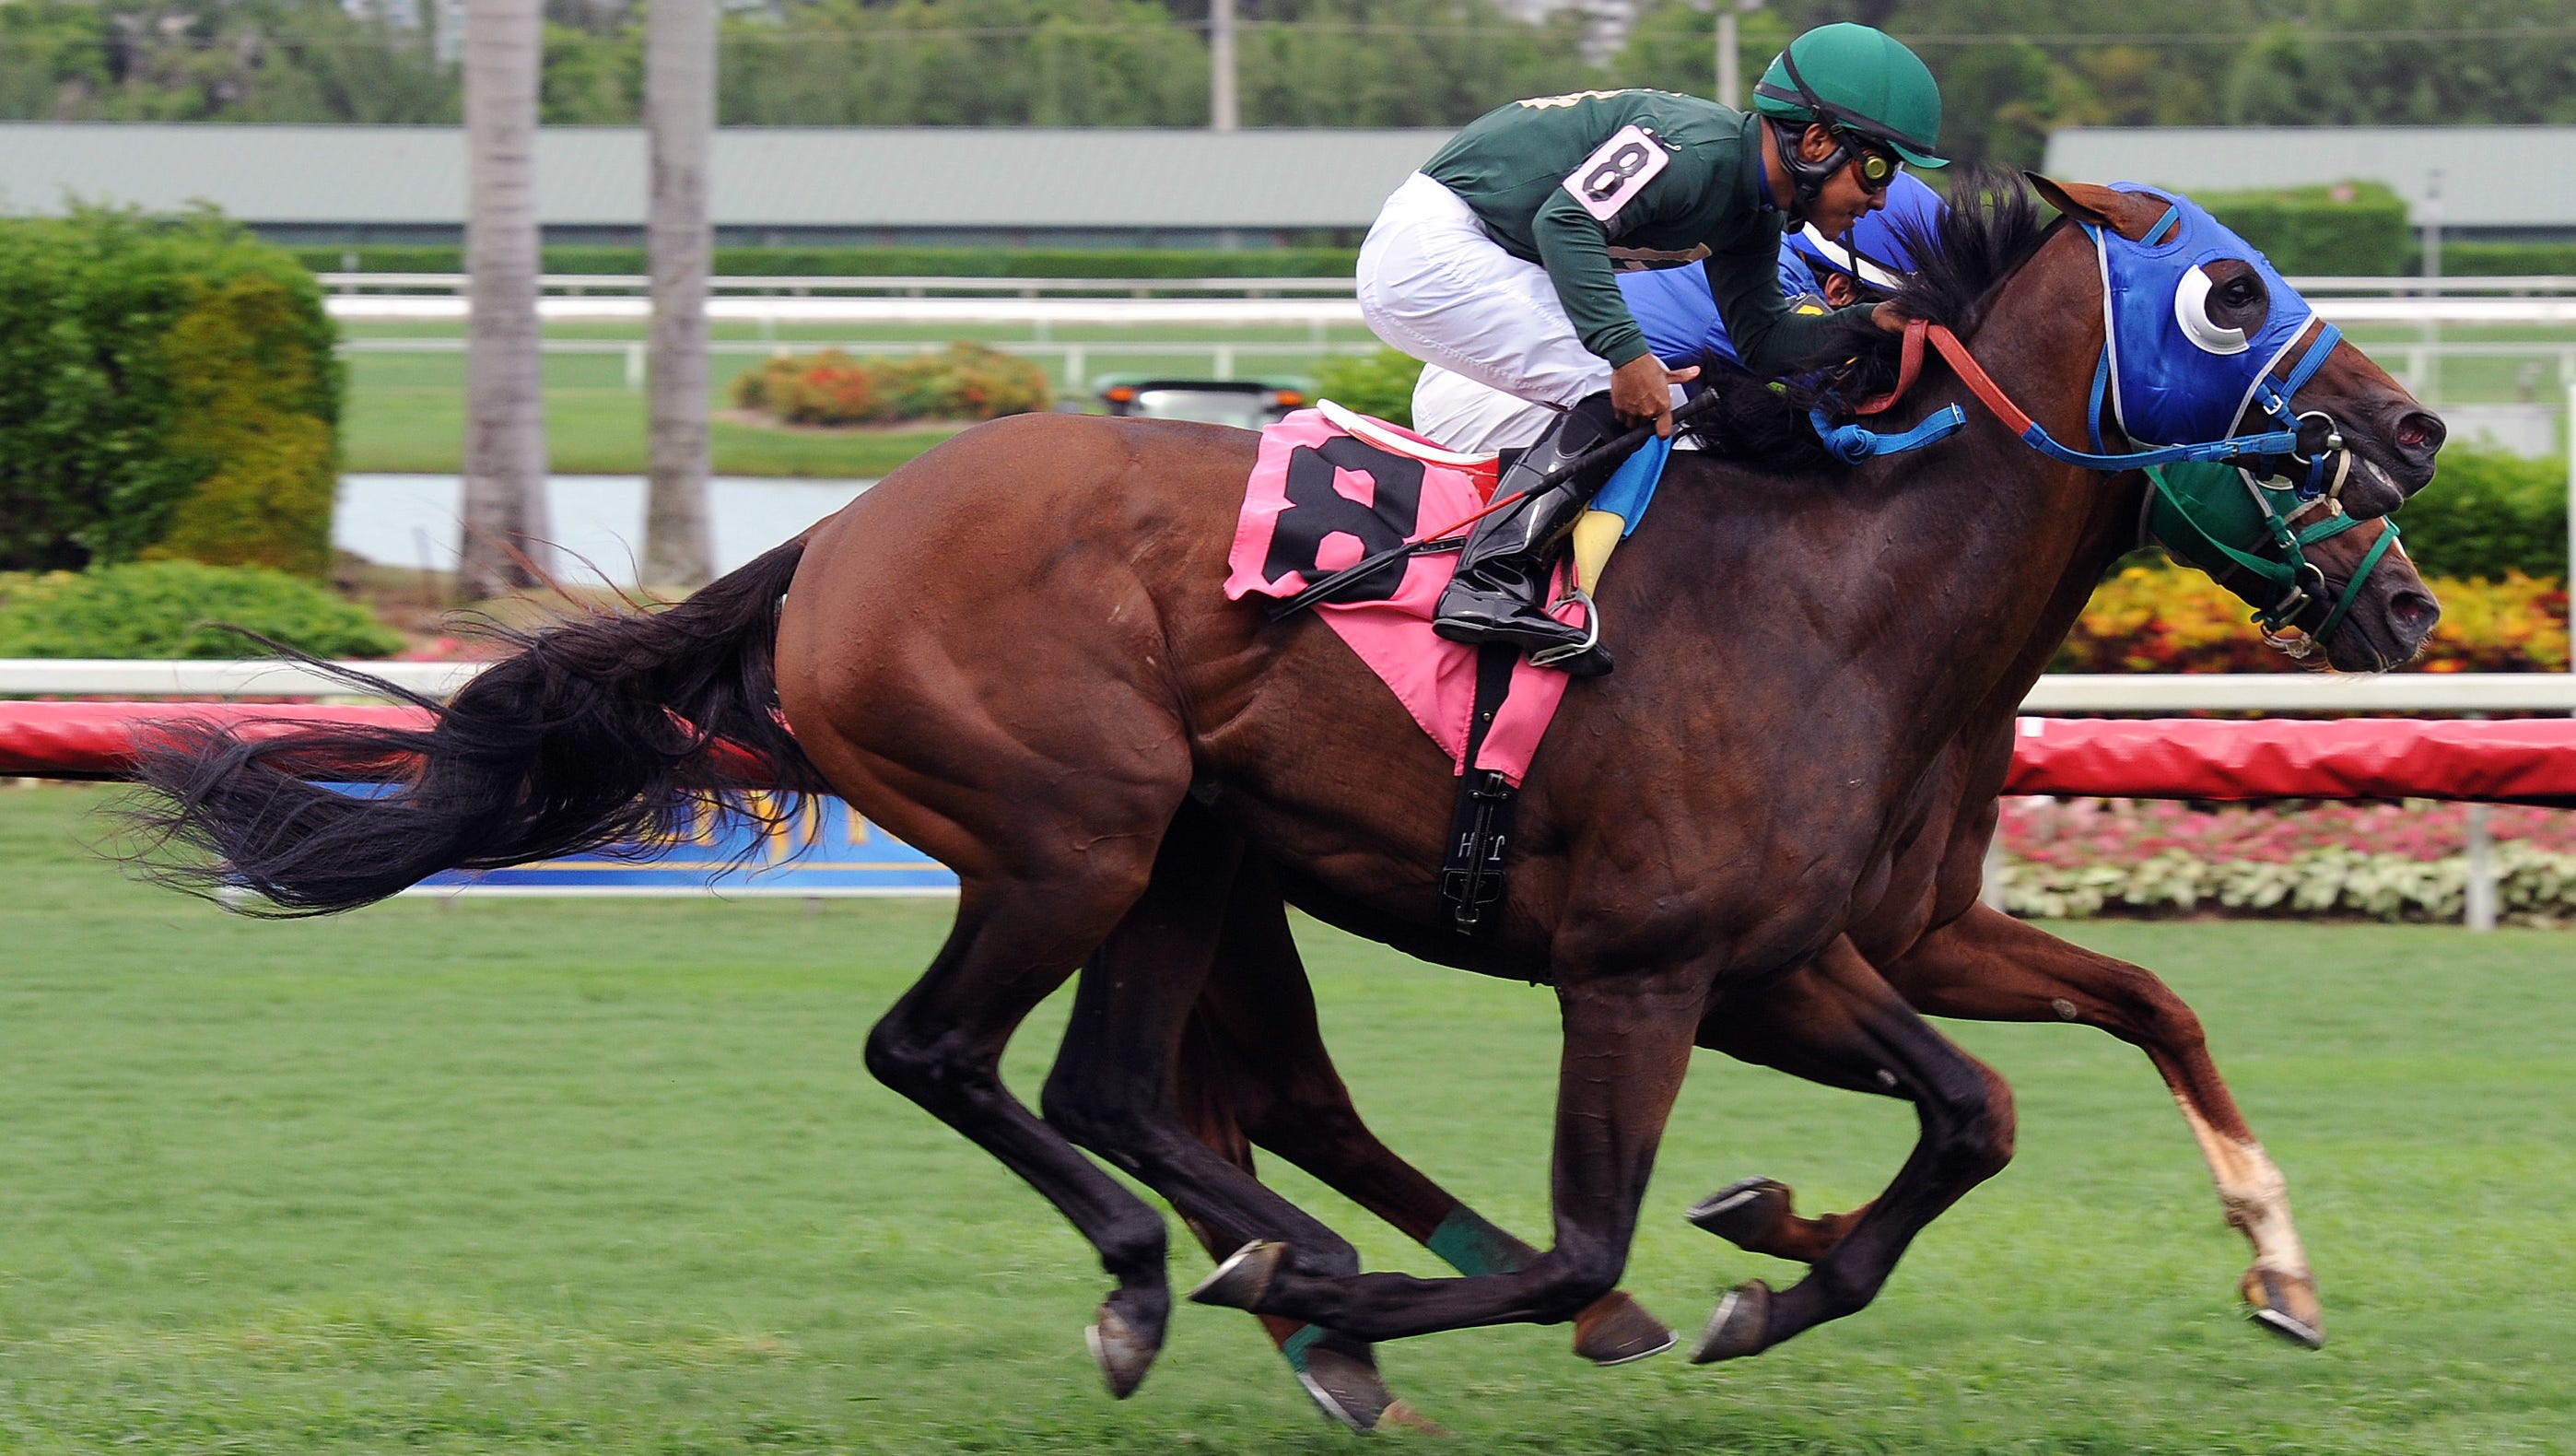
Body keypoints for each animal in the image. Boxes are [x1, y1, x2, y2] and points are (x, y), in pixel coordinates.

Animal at [128, 172, 2444, 1423]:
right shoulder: (1652, 963)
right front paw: (1663, 1263)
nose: (2416, 443)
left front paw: (2264, 1267)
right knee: (959, 1053)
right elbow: (1608, 1220)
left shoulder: (1826, 947)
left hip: (1184, 856)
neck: (1844, 588)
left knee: (1136, 1087)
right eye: (2230, 289)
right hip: (1076, 828)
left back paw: (1276, 1275)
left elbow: (2037, 1072)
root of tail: (840, 537)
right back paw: (1211, 1281)